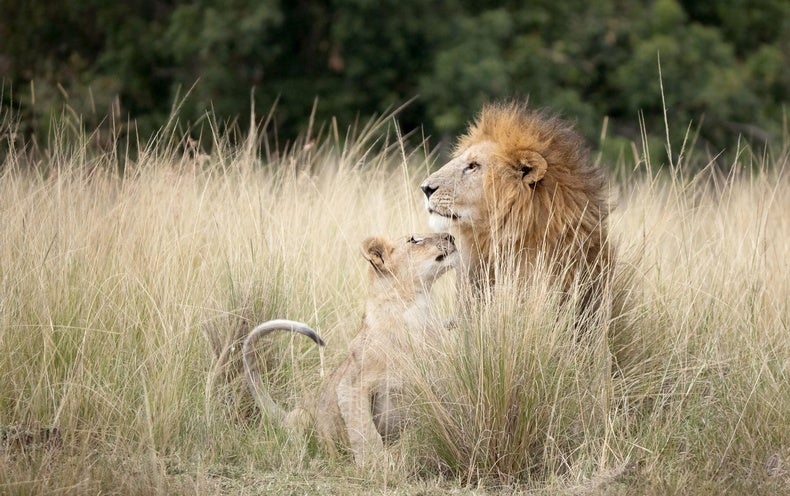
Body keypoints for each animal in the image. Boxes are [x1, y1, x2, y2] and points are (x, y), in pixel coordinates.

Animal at [242, 232, 458, 466]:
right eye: (413, 240)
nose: (451, 236)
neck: (416, 311)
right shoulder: (351, 385)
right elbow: (365, 431)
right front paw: (375, 465)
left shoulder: (435, 383)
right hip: (302, 418)